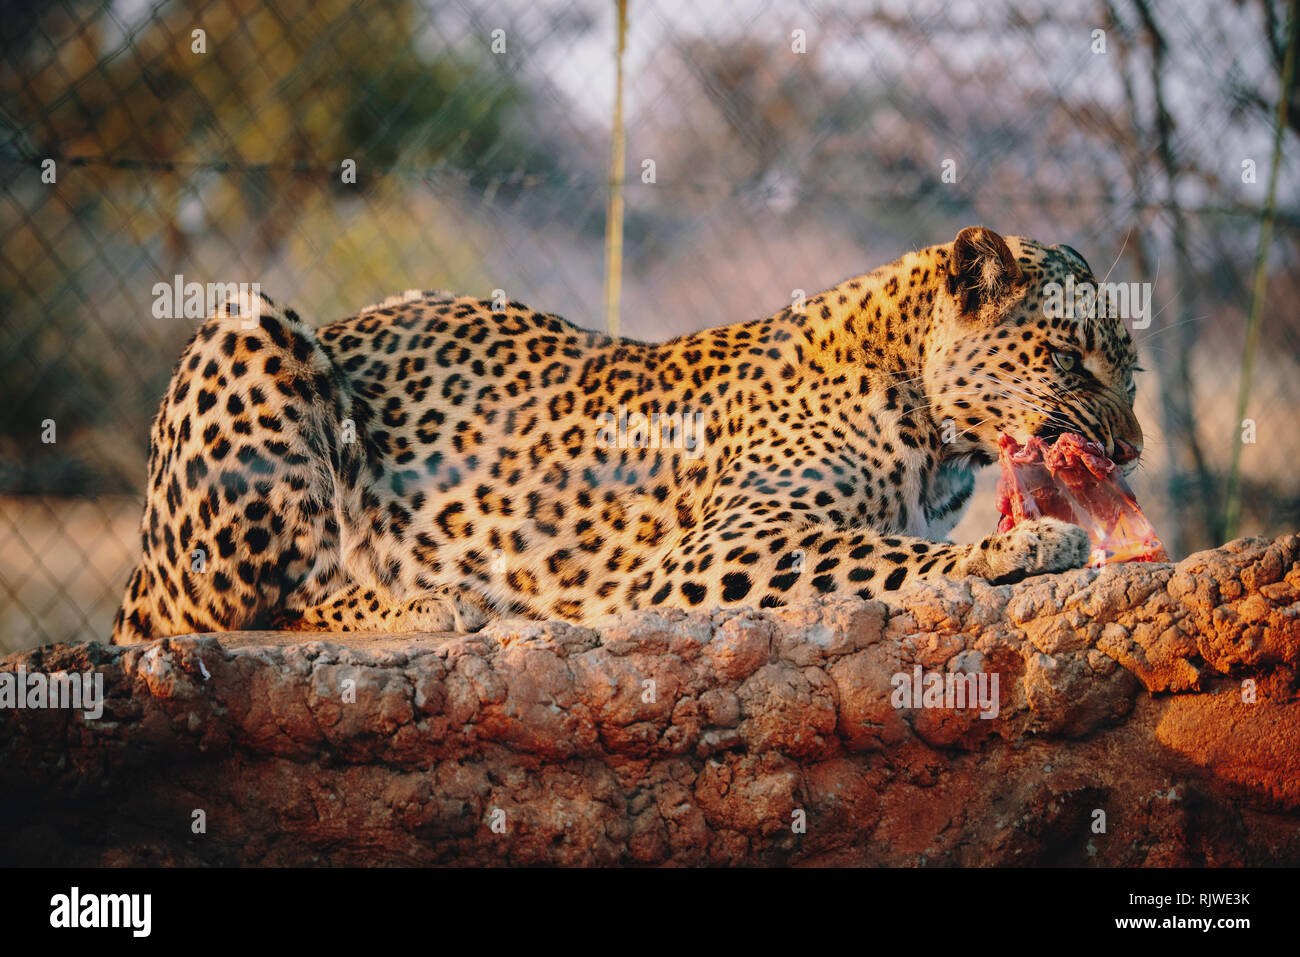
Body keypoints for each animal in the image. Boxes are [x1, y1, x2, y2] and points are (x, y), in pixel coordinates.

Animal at [111, 226, 1145, 643]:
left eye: (1130, 371)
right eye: (1071, 357)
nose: (1132, 451)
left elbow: (894, 544)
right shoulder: (725, 546)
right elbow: (885, 553)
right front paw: (1027, 543)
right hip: (250, 324)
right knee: (238, 607)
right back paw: (438, 602)